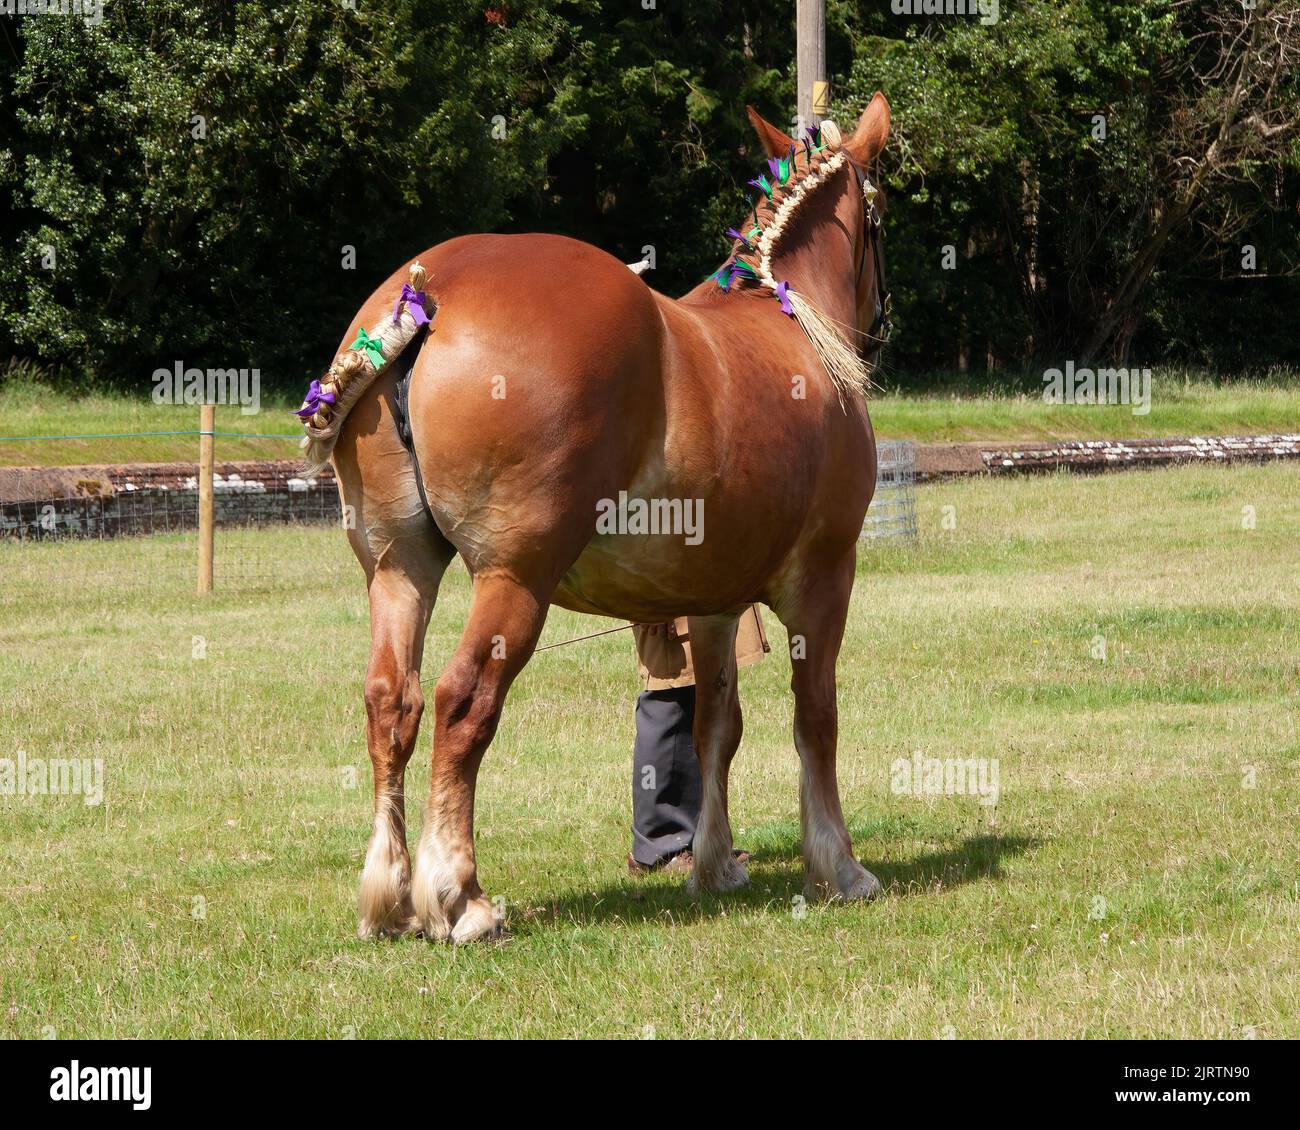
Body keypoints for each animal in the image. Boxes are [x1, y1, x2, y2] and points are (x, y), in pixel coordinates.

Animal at [312, 94, 892, 942]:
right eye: (880, 217)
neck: (789, 320)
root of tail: (428, 292)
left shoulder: (713, 603)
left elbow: (715, 727)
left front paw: (714, 866)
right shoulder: (824, 578)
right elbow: (815, 718)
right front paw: (840, 867)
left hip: (398, 568)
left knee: (394, 701)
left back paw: (389, 895)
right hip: (515, 581)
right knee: (462, 703)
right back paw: (459, 895)